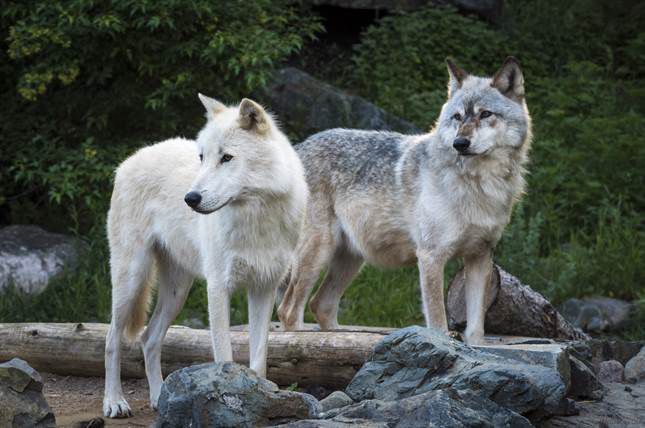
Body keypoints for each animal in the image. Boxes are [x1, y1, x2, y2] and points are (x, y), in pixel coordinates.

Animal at [103, 96, 307, 418]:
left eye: (227, 158)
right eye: (202, 157)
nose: (190, 199)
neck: (256, 217)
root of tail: (129, 160)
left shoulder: (263, 288)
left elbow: (259, 358)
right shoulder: (218, 287)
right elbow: (224, 355)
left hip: (177, 292)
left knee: (148, 339)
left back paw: (160, 398)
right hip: (132, 279)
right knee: (112, 338)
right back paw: (114, 402)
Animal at [278, 57, 531, 346]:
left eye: (485, 114)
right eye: (457, 117)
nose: (460, 143)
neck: (477, 185)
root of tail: (298, 148)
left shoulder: (480, 257)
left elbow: (476, 328)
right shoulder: (431, 257)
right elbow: (438, 322)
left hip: (350, 261)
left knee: (321, 305)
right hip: (318, 253)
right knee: (288, 312)